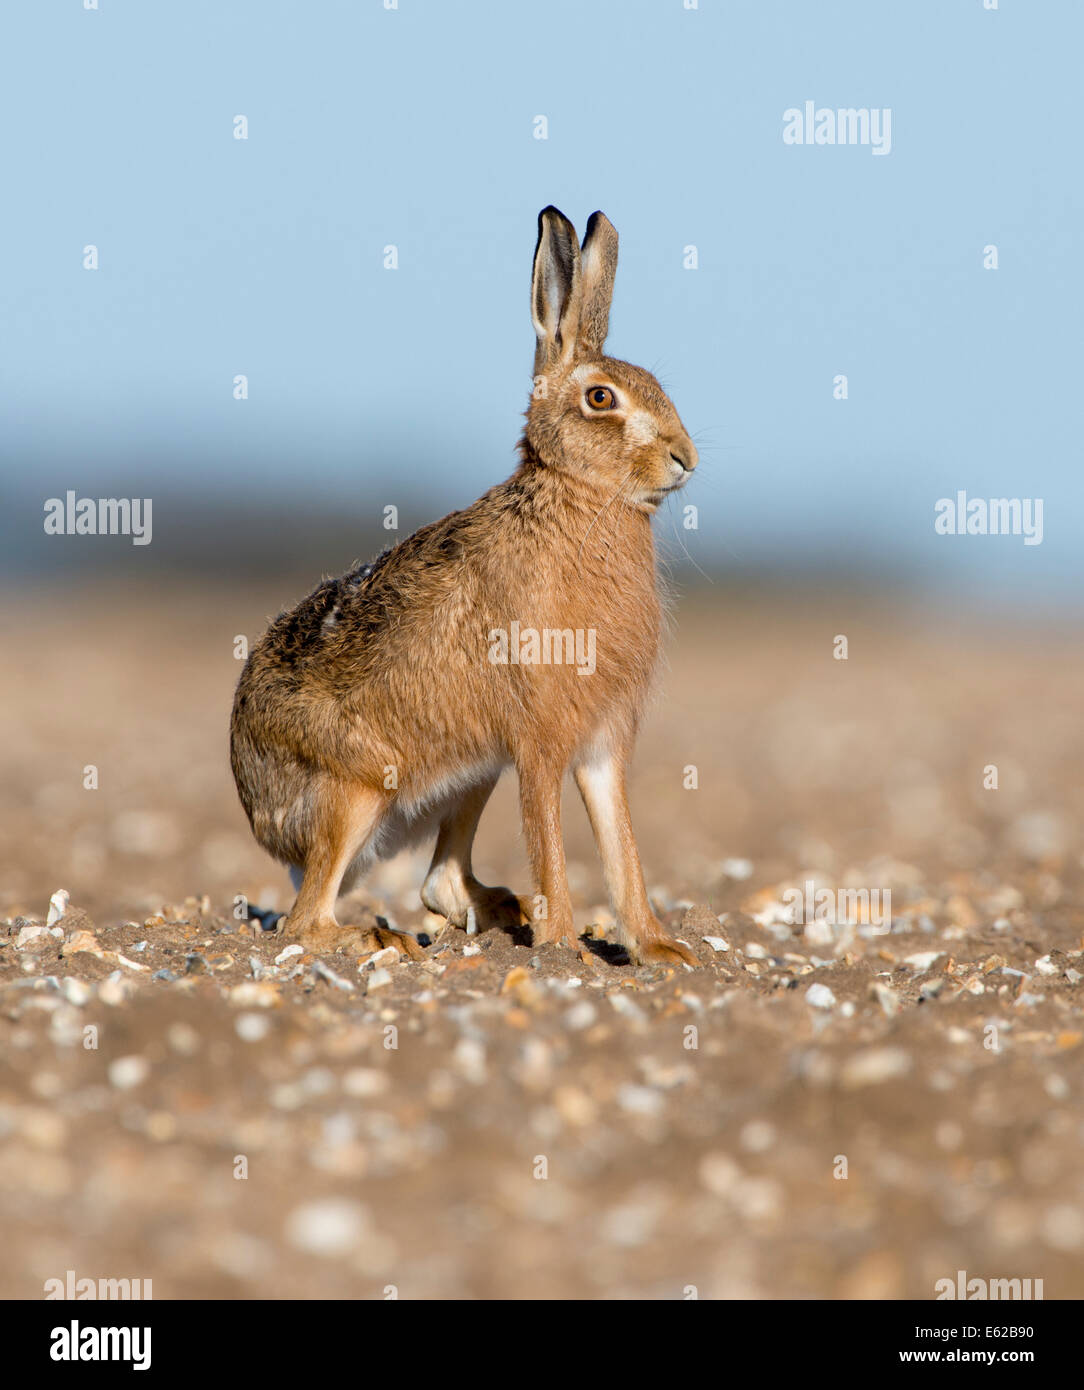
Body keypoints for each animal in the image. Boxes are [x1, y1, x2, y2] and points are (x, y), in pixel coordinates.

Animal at [230, 205, 699, 967]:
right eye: (601, 398)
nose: (685, 459)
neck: (574, 496)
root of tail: (259, 813)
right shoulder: (539, 738)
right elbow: (551, 842)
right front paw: (564, 947)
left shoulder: (601, 742)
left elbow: (621, 844)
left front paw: (658, 949)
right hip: (357, 789)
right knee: (303, 922)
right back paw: (378, 935)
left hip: (471, 765)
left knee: (438, 884)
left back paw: (492, 910)